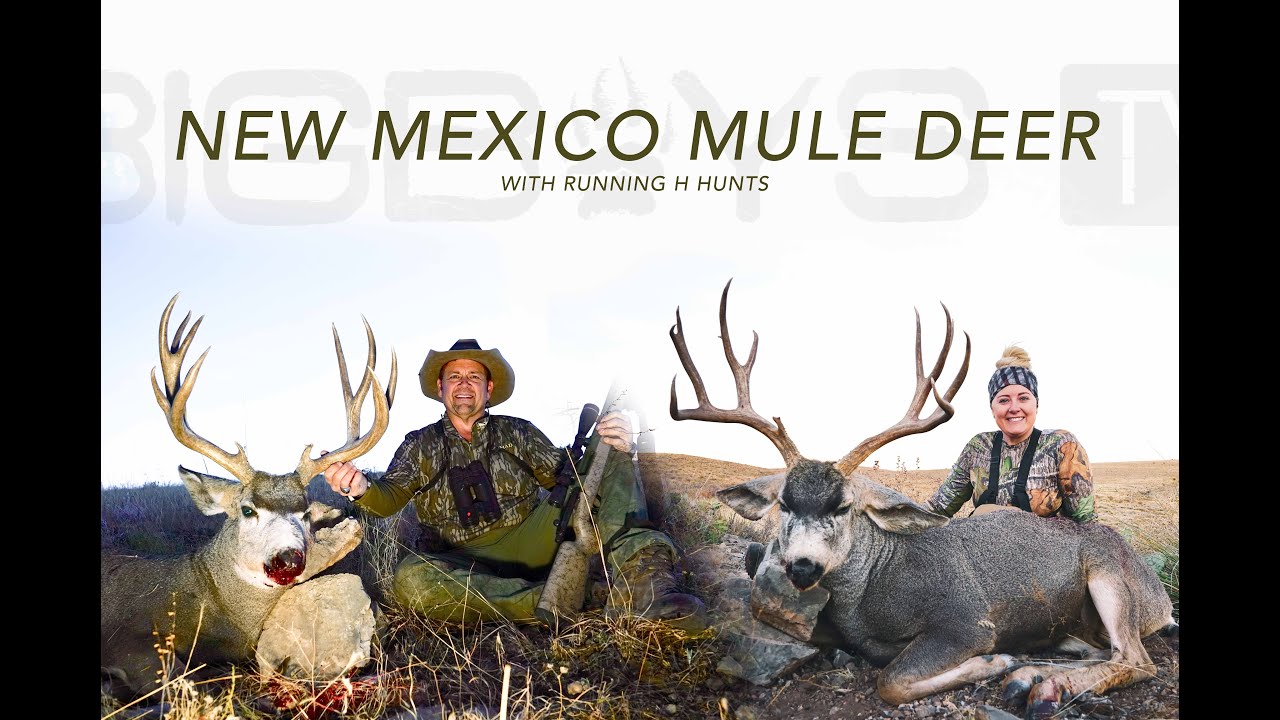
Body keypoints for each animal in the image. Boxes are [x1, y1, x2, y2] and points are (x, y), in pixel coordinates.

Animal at [669, 280, 1177, 719]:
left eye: (843, 506)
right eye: (786, 505)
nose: (802, 566)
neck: (876, 589)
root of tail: (1160, 597)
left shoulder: (966, 620)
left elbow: (892, 681)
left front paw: (997, 662)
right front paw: (1008, 664)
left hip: (1109, 576)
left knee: (1135, 659)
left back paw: (1037, 682)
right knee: (1102, 651)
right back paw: (1035, 673)